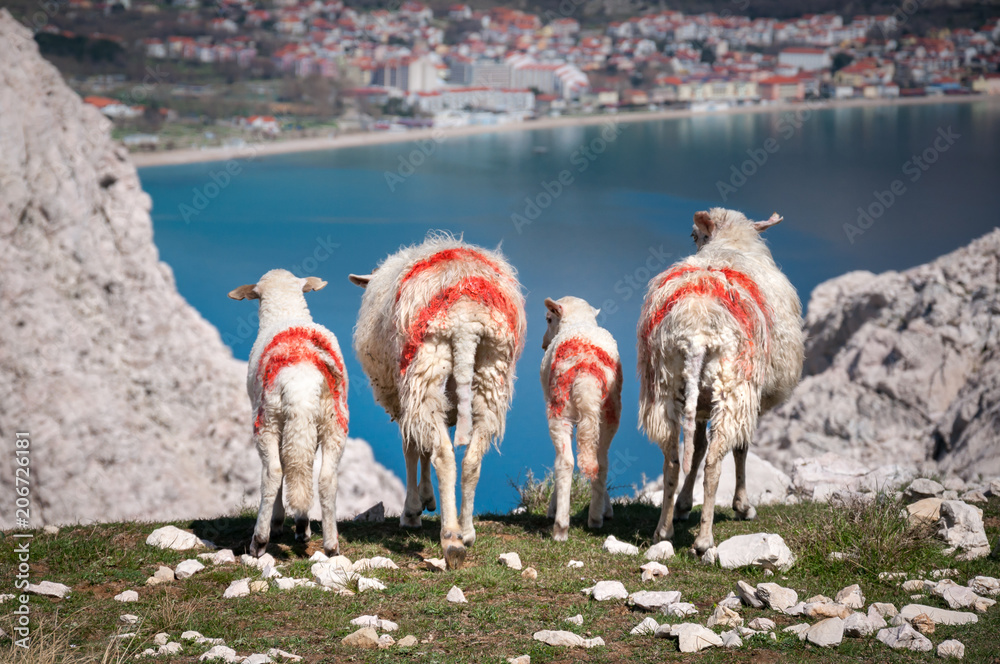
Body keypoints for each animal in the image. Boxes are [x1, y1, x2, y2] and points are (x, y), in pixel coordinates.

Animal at [228, 269, 349, 557]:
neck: (286, 310)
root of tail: (301, 383)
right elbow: (301, 467)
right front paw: (302, 526)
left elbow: (283, 469)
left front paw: (280, 522)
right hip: (332, 422)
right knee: (325, 478)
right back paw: (330, 545)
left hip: (268, 419)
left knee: (273, 472)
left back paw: (259, 541)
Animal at [349, 234, 526, 569]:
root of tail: (466, 319)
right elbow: (424, 447)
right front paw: (428, 500)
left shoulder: (401, 400)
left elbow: (412, 448)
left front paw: (413, 511)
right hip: (491, 368)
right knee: (471, 456)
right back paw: (466, 531)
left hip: (426, 363)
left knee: (443, 455)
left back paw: (451, 541)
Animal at [540, 296, 622, 541]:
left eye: (549, 319)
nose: (543, 344)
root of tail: (587, 376)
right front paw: (607, 509)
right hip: (609, 411)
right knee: (601, 461)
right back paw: (596, 518)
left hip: (559, 408)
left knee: (565, 462)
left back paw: (560, 527)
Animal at [636, 208, 803, 555]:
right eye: (693, 236)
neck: (731, 242)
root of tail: (696, 331)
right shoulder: (749, 400)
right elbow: (740, 448)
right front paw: (742, 506)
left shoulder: (699, 403)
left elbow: (697, 447)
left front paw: (683, 505)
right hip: (730, 389)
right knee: (715, 463)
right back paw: (703, 540)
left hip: (665, 387)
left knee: (673, 460)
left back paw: (663, 530)